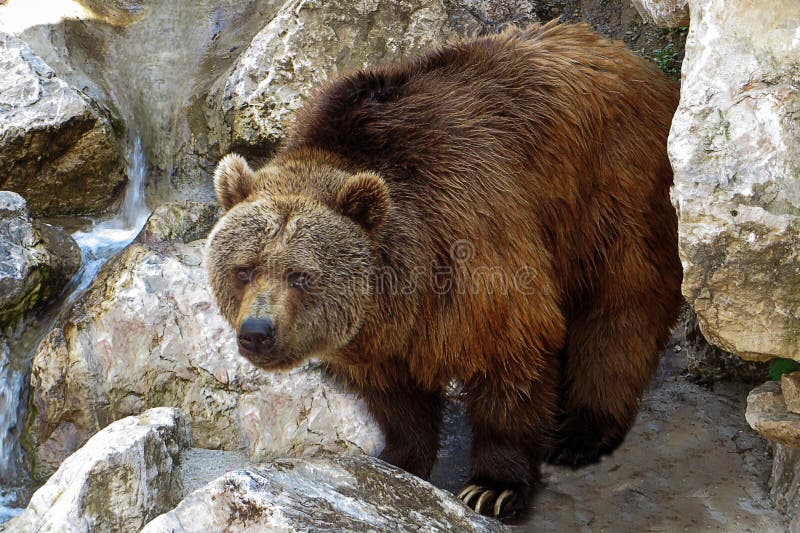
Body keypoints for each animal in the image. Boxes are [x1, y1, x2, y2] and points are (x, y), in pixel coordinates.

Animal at [206, 21, 682, 520]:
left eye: (302, 275)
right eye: (243, 269)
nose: (257, 332)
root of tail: (636, 63)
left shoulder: (472, 232)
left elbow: (510, 351)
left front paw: (492, 487)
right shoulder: (382, 330)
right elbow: (396, 394)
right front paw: (400, 460)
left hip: (612, 188)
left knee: (620, 308)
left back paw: (581, 431)